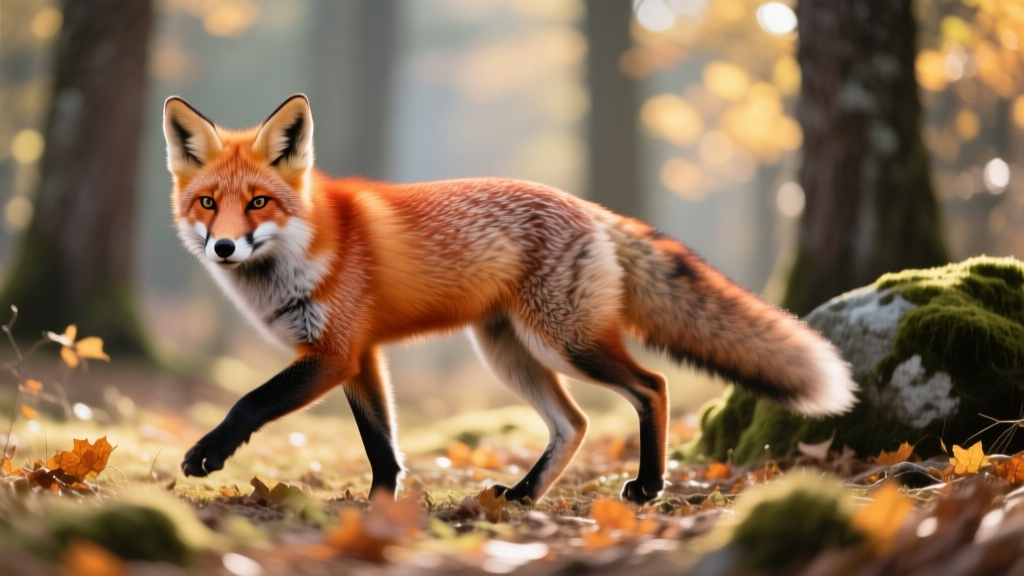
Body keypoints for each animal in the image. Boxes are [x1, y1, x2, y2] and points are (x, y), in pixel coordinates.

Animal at [163, 94, 856, 504]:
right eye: (208, 203)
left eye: (259, 202)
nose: (224, 246)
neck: (300, 253)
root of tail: (590, 207)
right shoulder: (360, 357)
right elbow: (382, 447)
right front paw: (381, 510)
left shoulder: (334, 353)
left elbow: (249, 401)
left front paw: (205, 453)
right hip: (508, 353)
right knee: (573, 423)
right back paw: (524, 495)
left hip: (567, 343)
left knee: (652, 386)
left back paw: (648, 485)